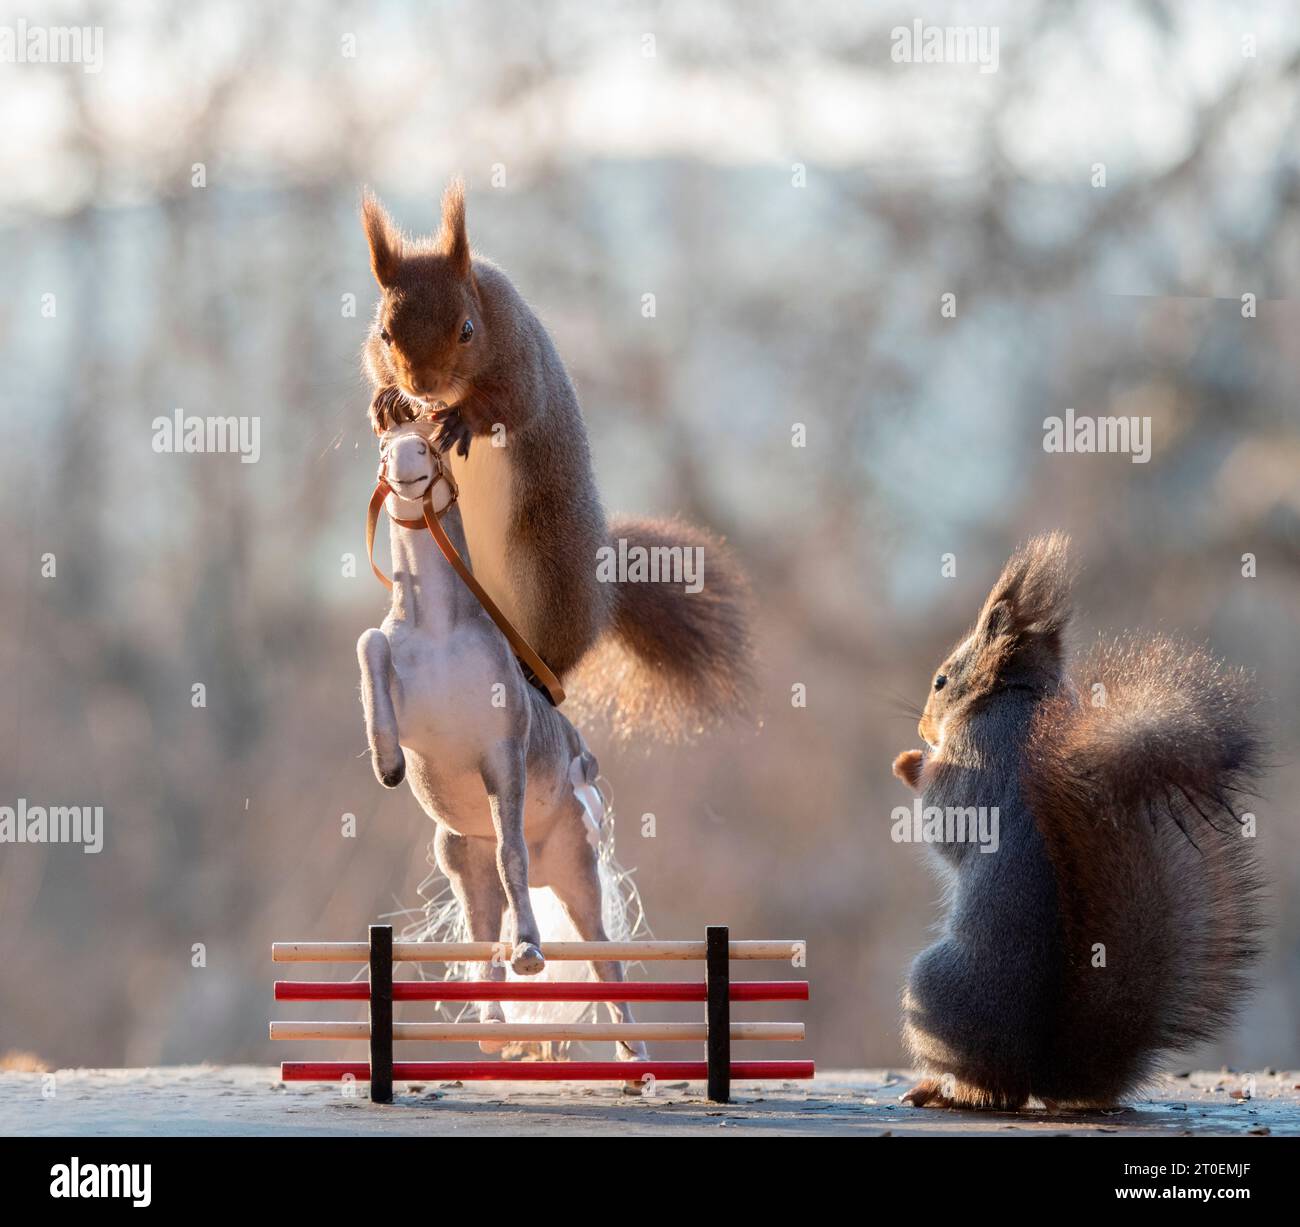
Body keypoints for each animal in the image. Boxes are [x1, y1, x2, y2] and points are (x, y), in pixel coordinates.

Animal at [359, 180, 753, 739]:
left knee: (560, 657)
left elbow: (515, 404)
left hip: (550, 566)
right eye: (386, 334)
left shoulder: (524, 361)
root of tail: (603, 585)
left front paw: (463, 419)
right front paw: (386, 401)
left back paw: (537, 674)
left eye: (467, 330)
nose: (422, 385)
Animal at [891, 532, 1265, 1110]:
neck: (1012, 696)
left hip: (933, 988)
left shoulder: (980, 755)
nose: (924, 731)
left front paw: (910, 764)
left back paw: (940, 1090)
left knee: (988, 1091)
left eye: (941, 680)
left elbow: (945, 821)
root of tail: (1038, 1069)